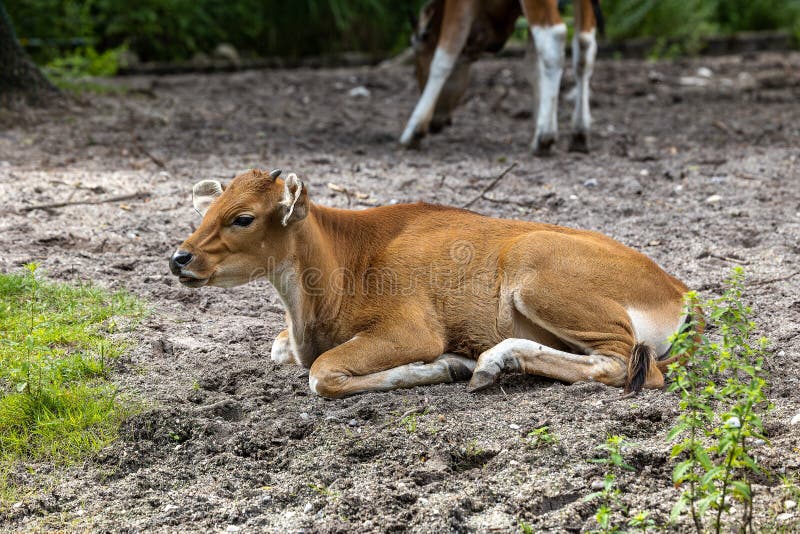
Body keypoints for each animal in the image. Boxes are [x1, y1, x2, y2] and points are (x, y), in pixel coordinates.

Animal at [169, 168, 695, 399]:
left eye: (243, 217)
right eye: (209, 210)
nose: (180, 258)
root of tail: (678, 291)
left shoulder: (412, 329)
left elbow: (321, 372)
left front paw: (447, 366)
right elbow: (284, 350)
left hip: (536, 272)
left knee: (630, 366)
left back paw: (488, 363)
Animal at [400, 0, 601, 155]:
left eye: (415, 71)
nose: (436, 122)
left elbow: (444, 56)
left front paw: (414, 129)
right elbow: (533, 66)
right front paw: (538, 123)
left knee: (554, 36)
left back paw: (545, 136)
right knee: (584, 45)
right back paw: (579, 134)